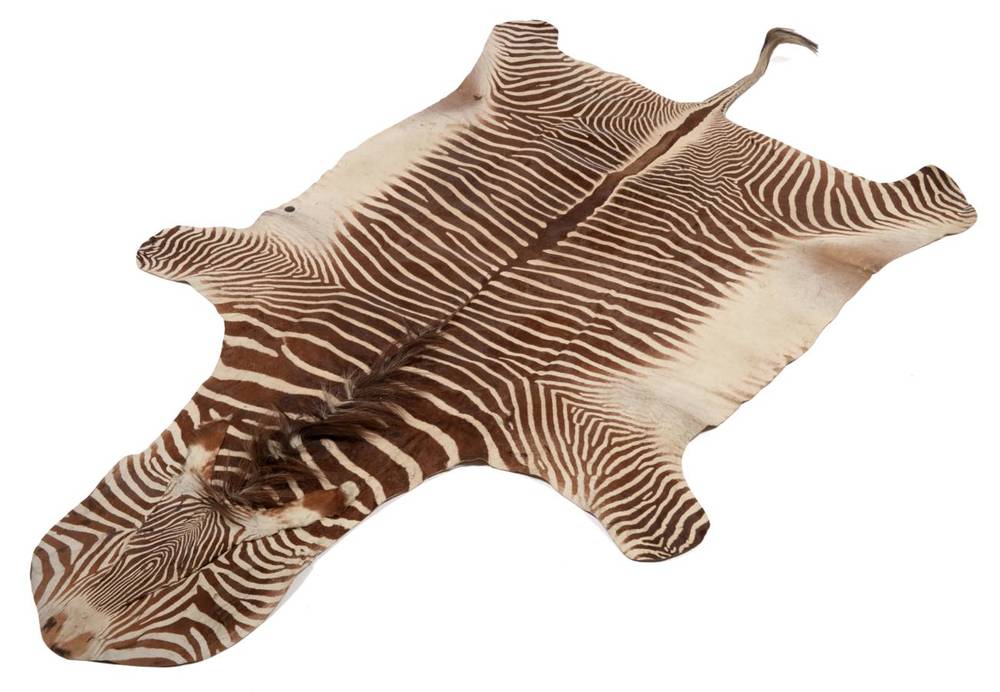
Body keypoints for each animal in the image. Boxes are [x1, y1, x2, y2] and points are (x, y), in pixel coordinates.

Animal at [33, 20, 976, 665]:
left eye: (195, 597)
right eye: (111, 548)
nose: (56, 641)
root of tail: (697, 112)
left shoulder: (589, 446)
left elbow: (672, 539)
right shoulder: (270, 278)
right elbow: (163, 248)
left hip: (889, 214)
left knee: (945, 200)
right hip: (528, 74)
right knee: (522, 35)